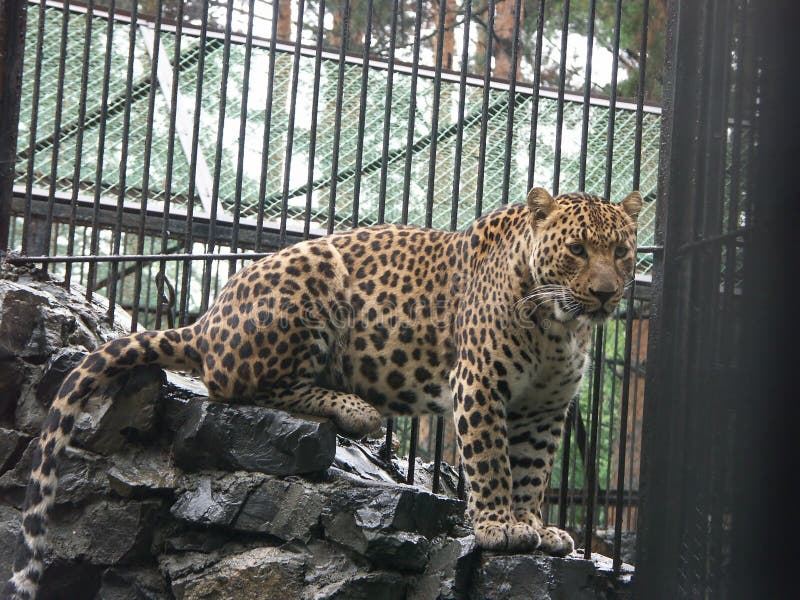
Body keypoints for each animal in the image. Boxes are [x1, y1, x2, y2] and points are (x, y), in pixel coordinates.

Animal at [5, 187, 641, 599]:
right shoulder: (479, 383)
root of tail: (209, 319)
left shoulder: (544, 408)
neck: (560, 325)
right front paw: (497, 526)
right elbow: (490, 462)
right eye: (578, 250)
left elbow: (532, 470)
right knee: (234, 384)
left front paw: (536, 526)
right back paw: (355, 410)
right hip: (309, 289)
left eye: (622, 252)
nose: (607, 293)